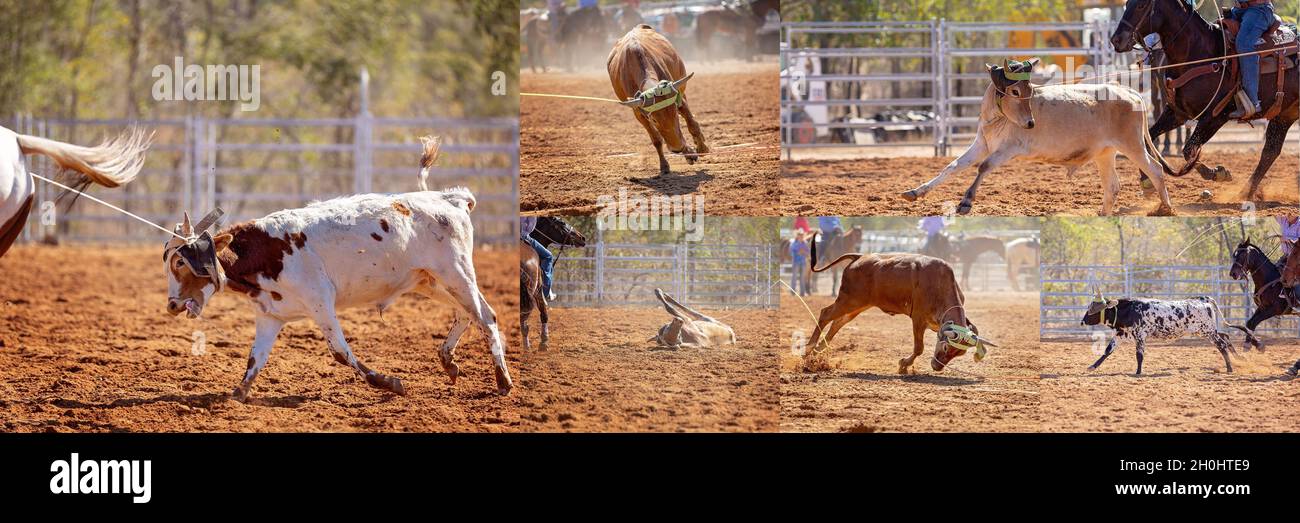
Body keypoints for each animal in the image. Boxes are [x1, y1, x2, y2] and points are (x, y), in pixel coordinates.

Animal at [162, 138, 513, 401]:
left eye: (180, 262)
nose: (172, 305)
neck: (266, 251)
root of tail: (449, 198)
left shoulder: (321, 303)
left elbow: (340, 353)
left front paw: (390, 383)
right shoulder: (269, 316)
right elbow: (254, 360)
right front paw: (237, 395)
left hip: (456, 273)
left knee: (485, 317)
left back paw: (503, 382)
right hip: (431, 281)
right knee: (466, 313)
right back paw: (449, 361)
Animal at [608, 24, 709, 175]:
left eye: (674, 112)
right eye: (654, 120)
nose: (676, 148)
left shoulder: (678, 97)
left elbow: (692, 124)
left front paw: (701, 148)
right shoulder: (639, 113)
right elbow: (656, 139)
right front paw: (665, 164)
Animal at [802, 237, 996, 374]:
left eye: (959, 353)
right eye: (946, 347)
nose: (937, 366)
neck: (940, 285)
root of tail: (860, 257)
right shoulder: (918, 319)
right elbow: (919, 348)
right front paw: (903, 364)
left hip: (857, 306)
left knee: (837, 322)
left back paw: (818, 350)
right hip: (849, 300)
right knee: (825, 314)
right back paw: (808, 350)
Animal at [901, 58, 1182, 216]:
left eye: (1029, 90)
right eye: (1015, 91)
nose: (1030, 123)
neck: (997, 118)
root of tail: (1128, 91)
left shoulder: (1009, 149)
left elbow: (983, 167)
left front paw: (966, 202)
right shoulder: (982, 144)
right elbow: (953, 166)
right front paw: (915, 192)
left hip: (1132, 145)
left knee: (1155, 170)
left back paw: (1165, 208)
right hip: (1105, 153)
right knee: (1112, 185)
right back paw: (1103, 213)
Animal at [1080, 289, 1238, 375]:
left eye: (1093, 309)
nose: (1082, 321)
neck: (1130, 310)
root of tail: (1203, 300)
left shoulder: (1140, 335)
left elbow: (1139, 355)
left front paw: (1138, 372)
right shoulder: (1122, 334)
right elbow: (1108, 350)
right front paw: (1092, 366)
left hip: (1207, 331)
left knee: (1222, 344)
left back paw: (1230, 368)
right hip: (1206, 331)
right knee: (1225, 337)